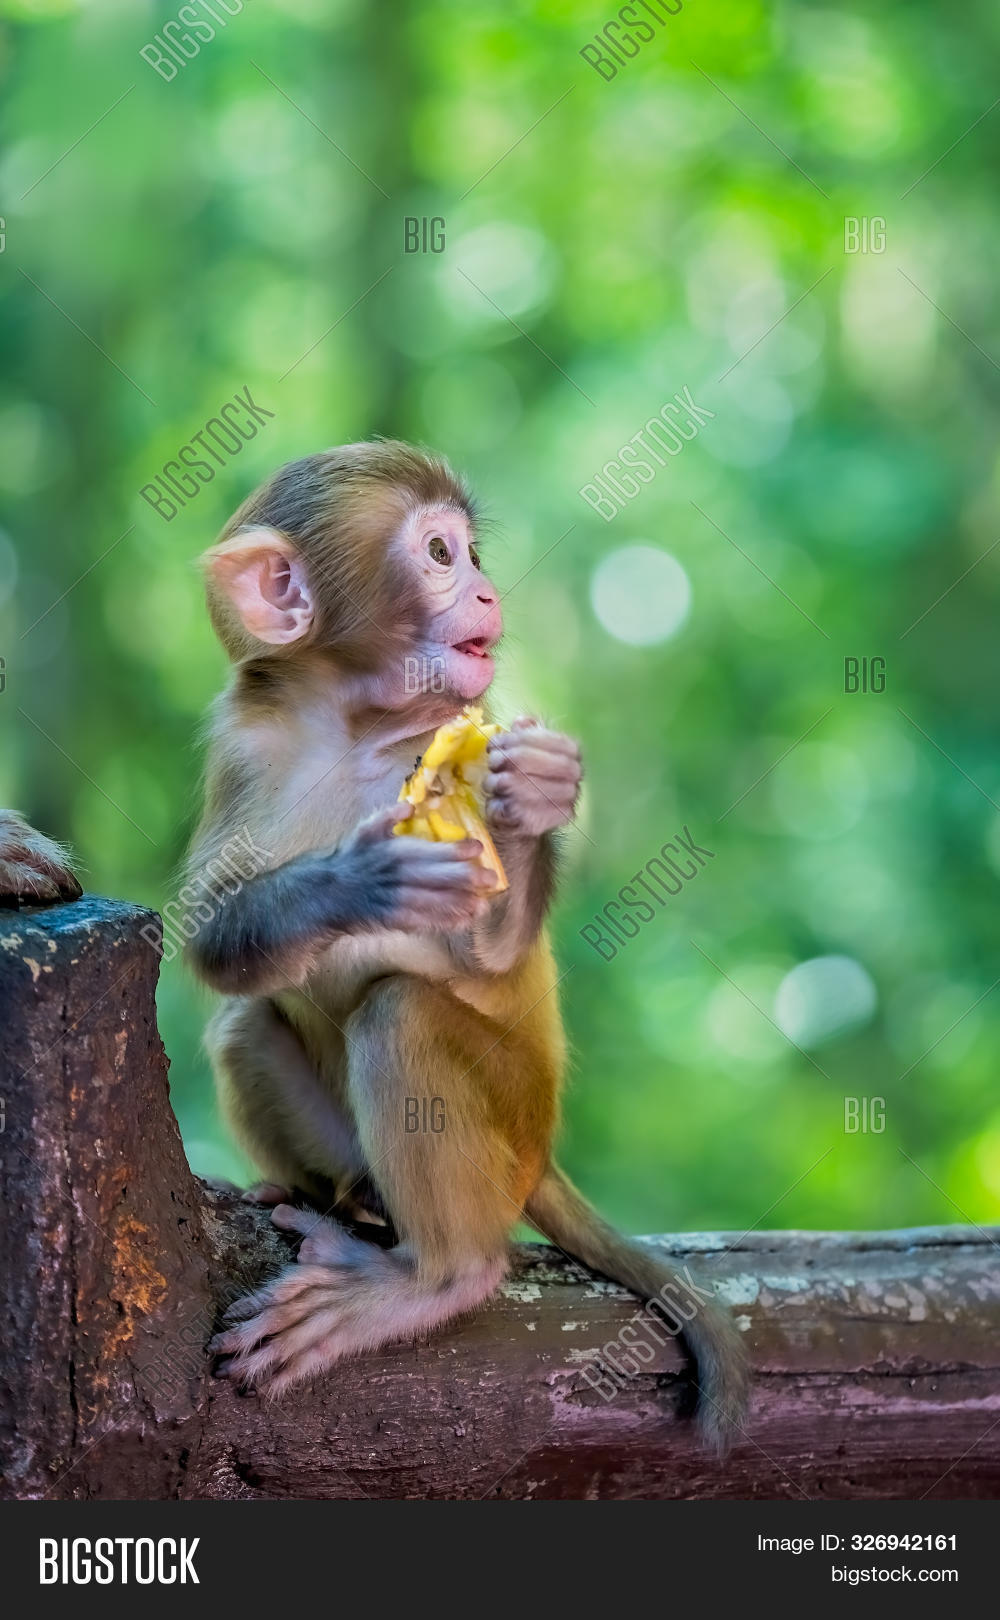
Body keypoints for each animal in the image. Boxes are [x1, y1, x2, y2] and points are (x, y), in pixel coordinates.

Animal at [187, 440, 749, 1453]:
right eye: (442, 554)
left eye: (471, 554)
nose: (486, 591)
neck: (359, 727)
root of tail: (543, 1146)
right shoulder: (244, 741)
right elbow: (213, 938)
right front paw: (355, 881)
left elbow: (483, 956)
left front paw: (534, 800)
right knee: (245, 1019)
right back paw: (330, 1197)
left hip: (506, 1130)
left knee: (402, 1011)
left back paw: (433, 1280)